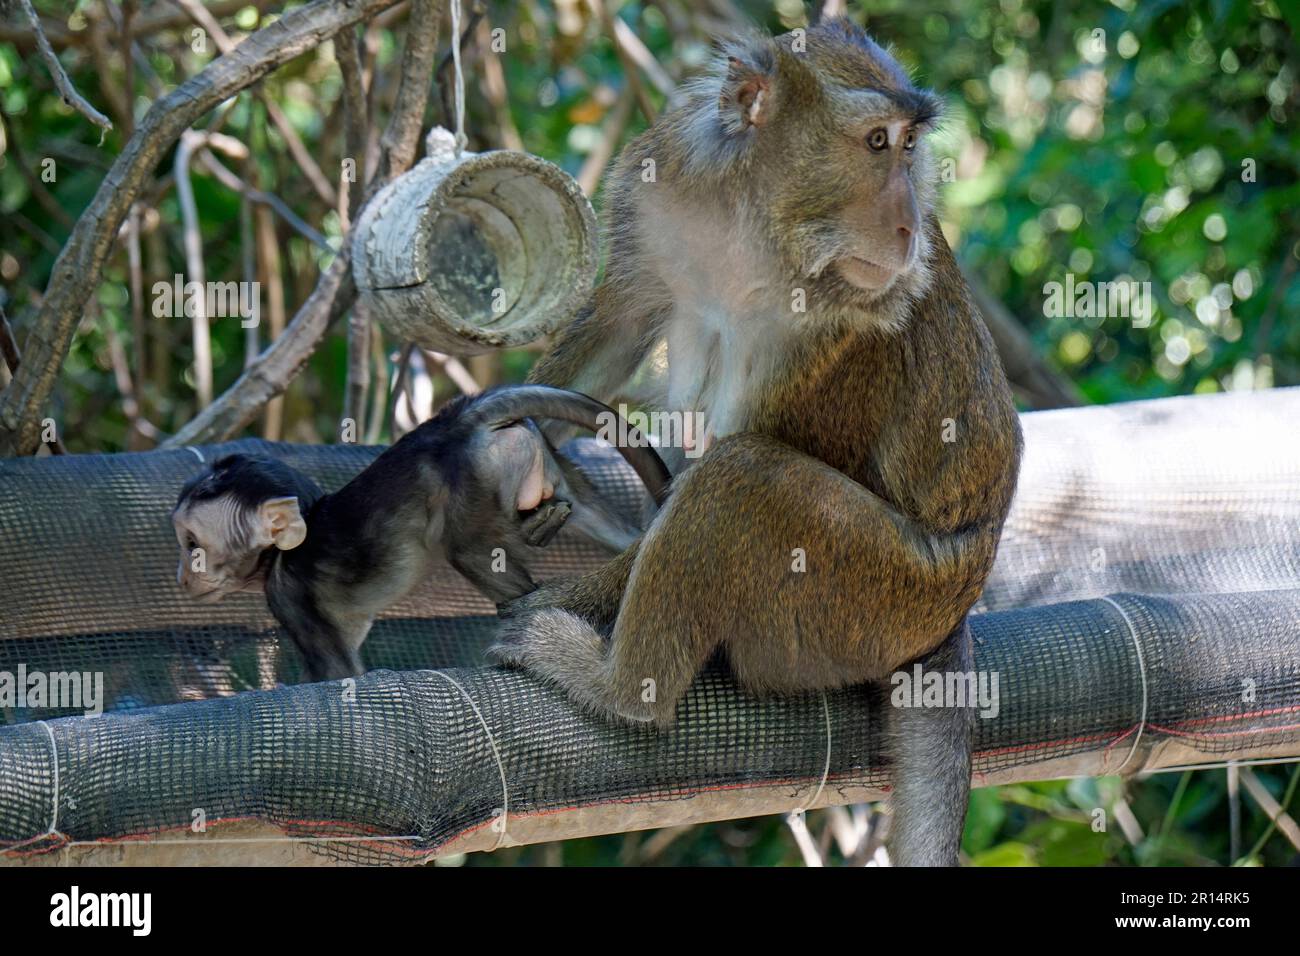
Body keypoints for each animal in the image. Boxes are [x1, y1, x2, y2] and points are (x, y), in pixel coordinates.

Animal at [172, 385, 671, 683]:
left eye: (193, 545)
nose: (182, 576)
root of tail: (455, 420)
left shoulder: (288, 592)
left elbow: (340, 677)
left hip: (469, 476)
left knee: (469, 551)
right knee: (596, 516)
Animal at [486, 18, 1023, 867]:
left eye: (908, 146)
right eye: (878, 141)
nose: (909, 228)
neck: (755, 225)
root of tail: (953, 611)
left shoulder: (843, 335)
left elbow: (729, 459)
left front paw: (560, 594)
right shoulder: (662, 181)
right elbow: (621, 316)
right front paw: (505, 442)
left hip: (877, 598)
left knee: (741, 480)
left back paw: (615, 687)